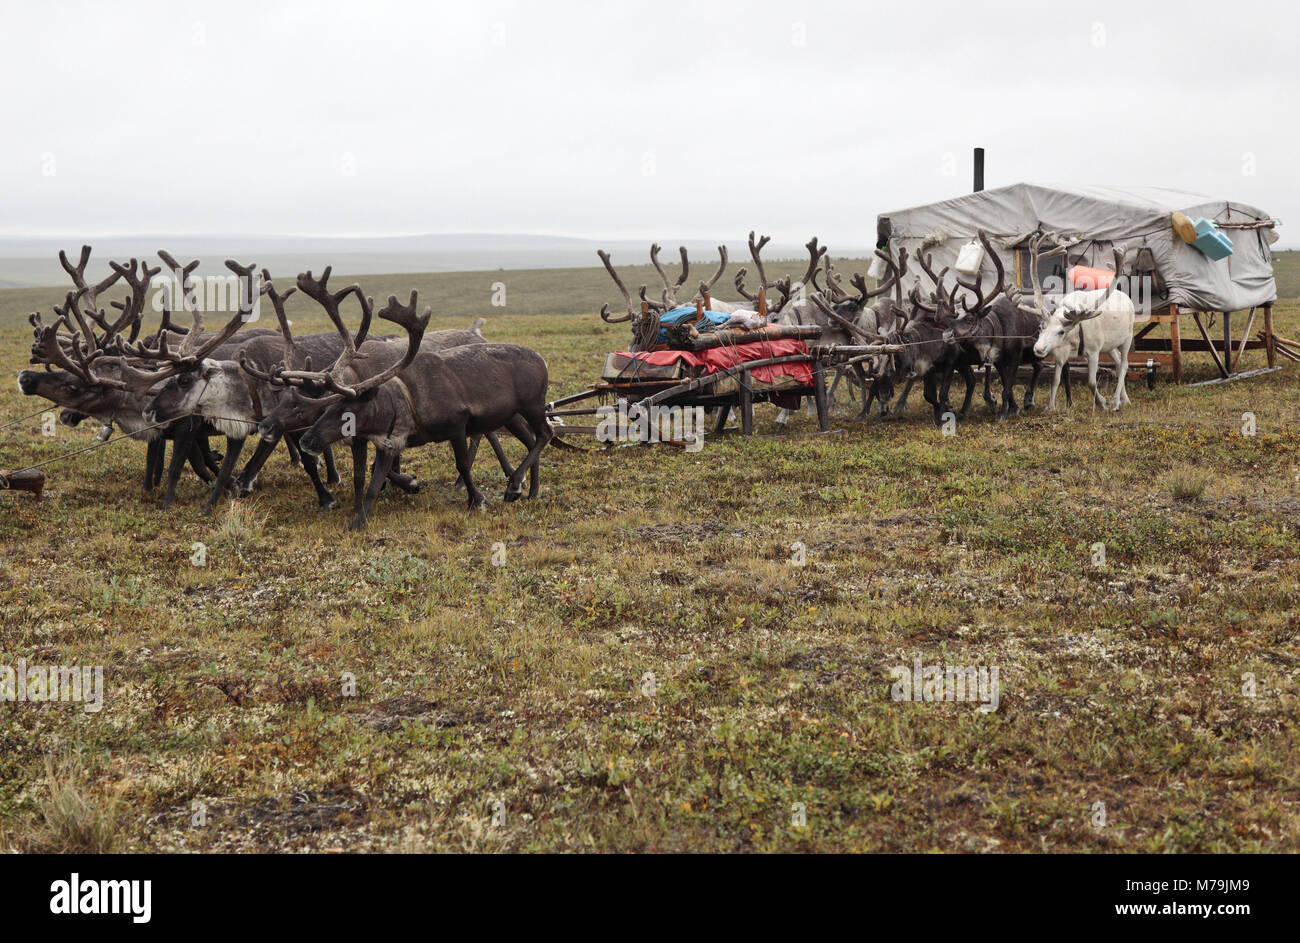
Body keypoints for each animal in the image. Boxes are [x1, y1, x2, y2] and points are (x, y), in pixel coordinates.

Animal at [296, 294, 553, 529]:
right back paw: (532, 491)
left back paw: (514, 486)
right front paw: (357, 523)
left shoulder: (457, 425)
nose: (305, 440)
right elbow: (372, 484)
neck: (404, 404)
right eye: (326, 406)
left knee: (545, 434)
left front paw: (477, 501)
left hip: (532, 405)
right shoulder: (389, 444)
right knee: (531, 440)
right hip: (511, 415)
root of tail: (542, 359)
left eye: (347, 410)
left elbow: (463, 465)